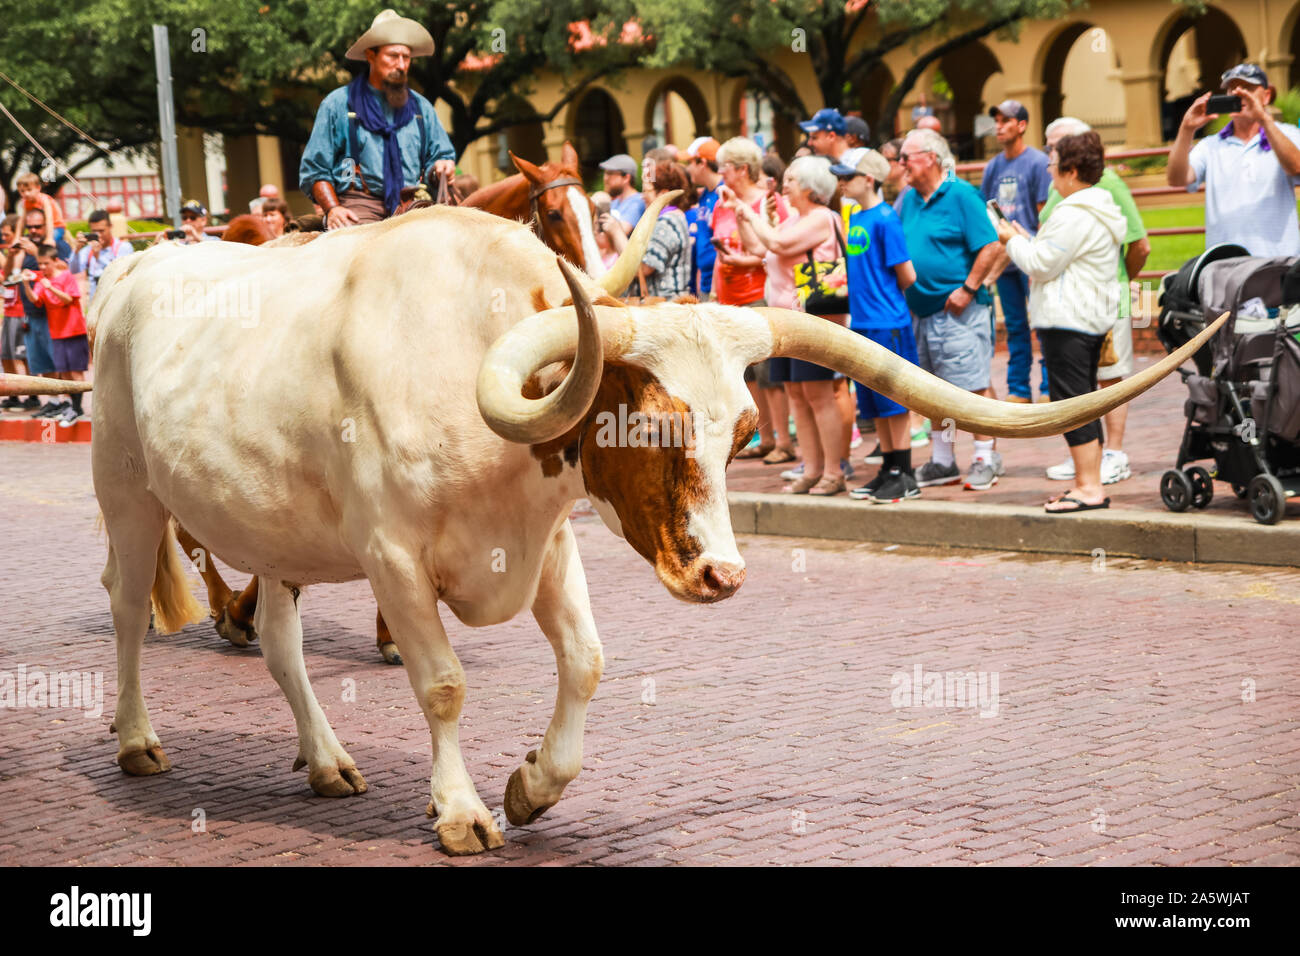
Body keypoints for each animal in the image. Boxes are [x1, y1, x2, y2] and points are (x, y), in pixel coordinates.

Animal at [76, 194, 1223, 855]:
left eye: (745, 427)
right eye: (652, 425)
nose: (722, 574)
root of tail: (140, 263)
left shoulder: (548, 544)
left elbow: (586, 662)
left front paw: (532, 787)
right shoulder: (394, 557)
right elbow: (442, 684)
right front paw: (461, 810)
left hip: (274, 527)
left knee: (274, 637)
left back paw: (323, 759)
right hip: (126, 492)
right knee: (130, 611)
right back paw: (136, 742)